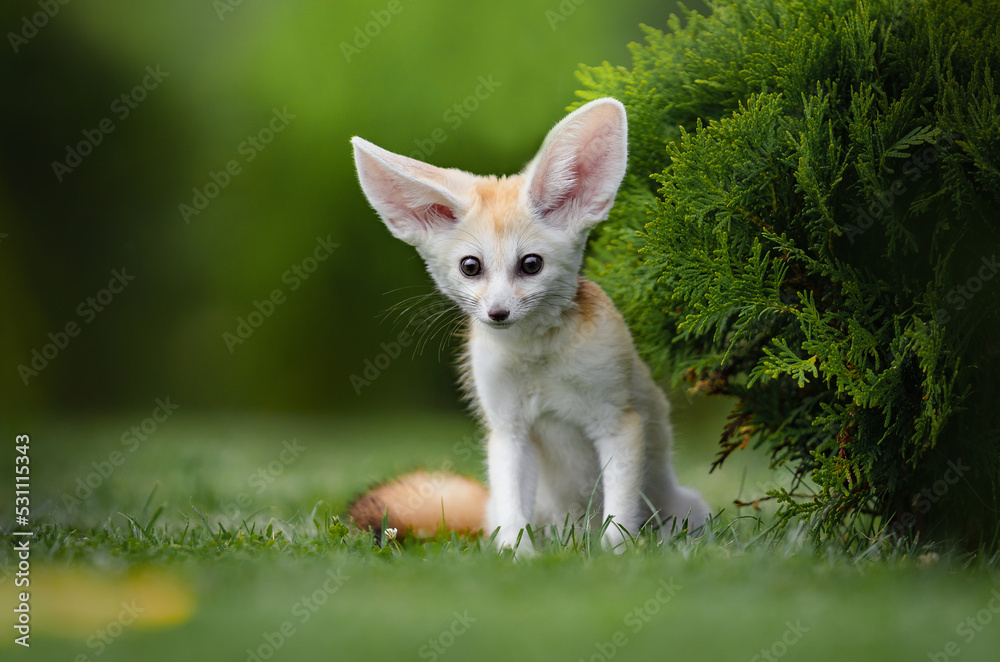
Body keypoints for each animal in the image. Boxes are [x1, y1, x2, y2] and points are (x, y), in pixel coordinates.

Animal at [348, 97, 710, 553]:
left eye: (531, 264)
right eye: (471, 267)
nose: (497, 314)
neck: (538, 358)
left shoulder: (619, 423)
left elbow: (619, 517)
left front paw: (615, 558)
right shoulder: (509, 430)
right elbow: (511, 517)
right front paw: (518, 558)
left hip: (692, 509)